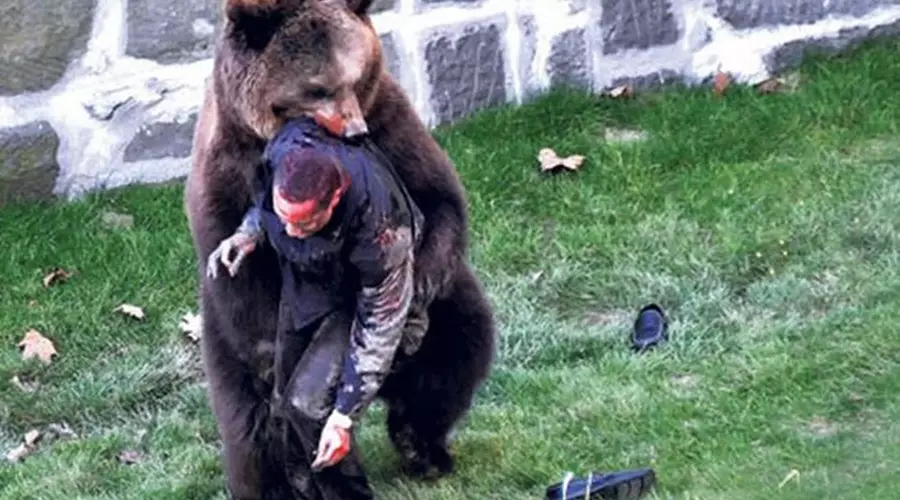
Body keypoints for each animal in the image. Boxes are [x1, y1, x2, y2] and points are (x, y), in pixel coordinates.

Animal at [179, 0, 496, 494]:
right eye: (317, 87)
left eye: (357, 75)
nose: (354, 131)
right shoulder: (227, 172)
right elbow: (239, 269)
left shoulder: (390, 124)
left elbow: (439, 198)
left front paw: (411, 310)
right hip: (222, 346)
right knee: (249, 424)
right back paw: (278, 480)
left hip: (448, 311)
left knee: (458, 347)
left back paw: (421, 446)